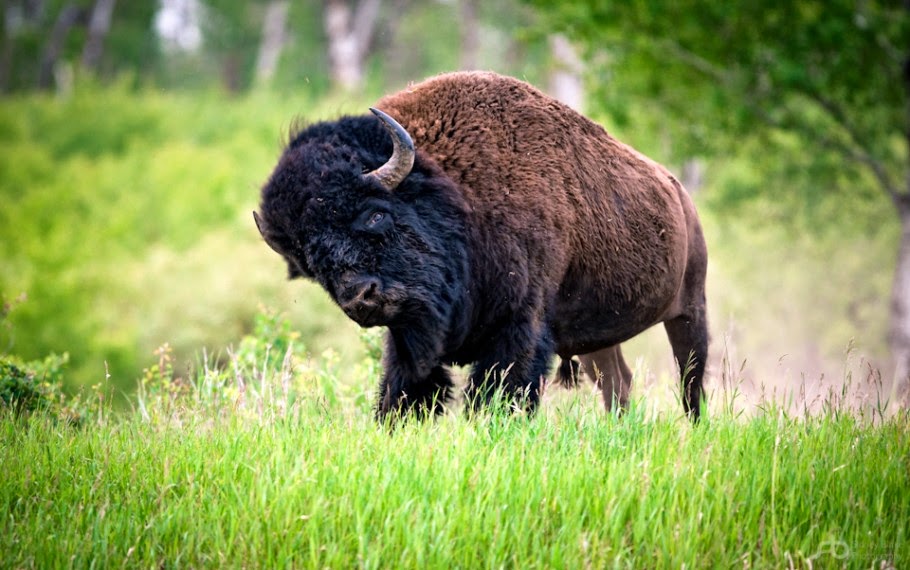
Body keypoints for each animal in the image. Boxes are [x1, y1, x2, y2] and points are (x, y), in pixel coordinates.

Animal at [254, 71, 708, 422]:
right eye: (309, 258)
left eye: (374, 214)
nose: (360, 298)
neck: (454, 191)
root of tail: (681, 196)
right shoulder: (409, 342)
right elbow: (401, 395)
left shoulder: (518, 327)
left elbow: (498, 395)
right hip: (599, 338)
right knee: (618, 381)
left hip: (689, 311)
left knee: (691, 382)